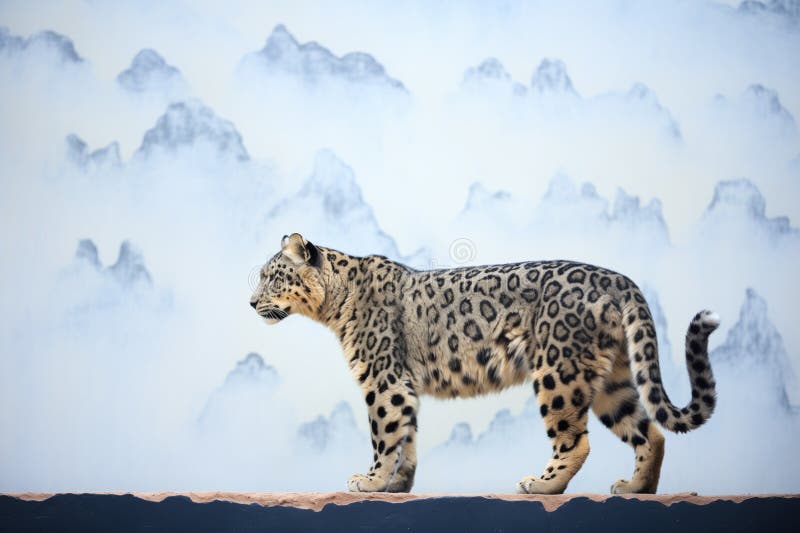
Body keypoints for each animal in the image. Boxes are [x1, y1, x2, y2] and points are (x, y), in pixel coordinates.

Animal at [250, 233, 719, 494]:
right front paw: (398, 485)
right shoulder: (403, 386)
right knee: (649, 431)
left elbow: (384, 435)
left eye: (272, 276)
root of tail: (619, 279)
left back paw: (541, 484)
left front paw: (370, 481)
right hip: (612, 379)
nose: (252, 302)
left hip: (557, 371)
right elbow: (406, 438)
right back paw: (636, 487)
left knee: (575, 438)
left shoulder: (383, 380)